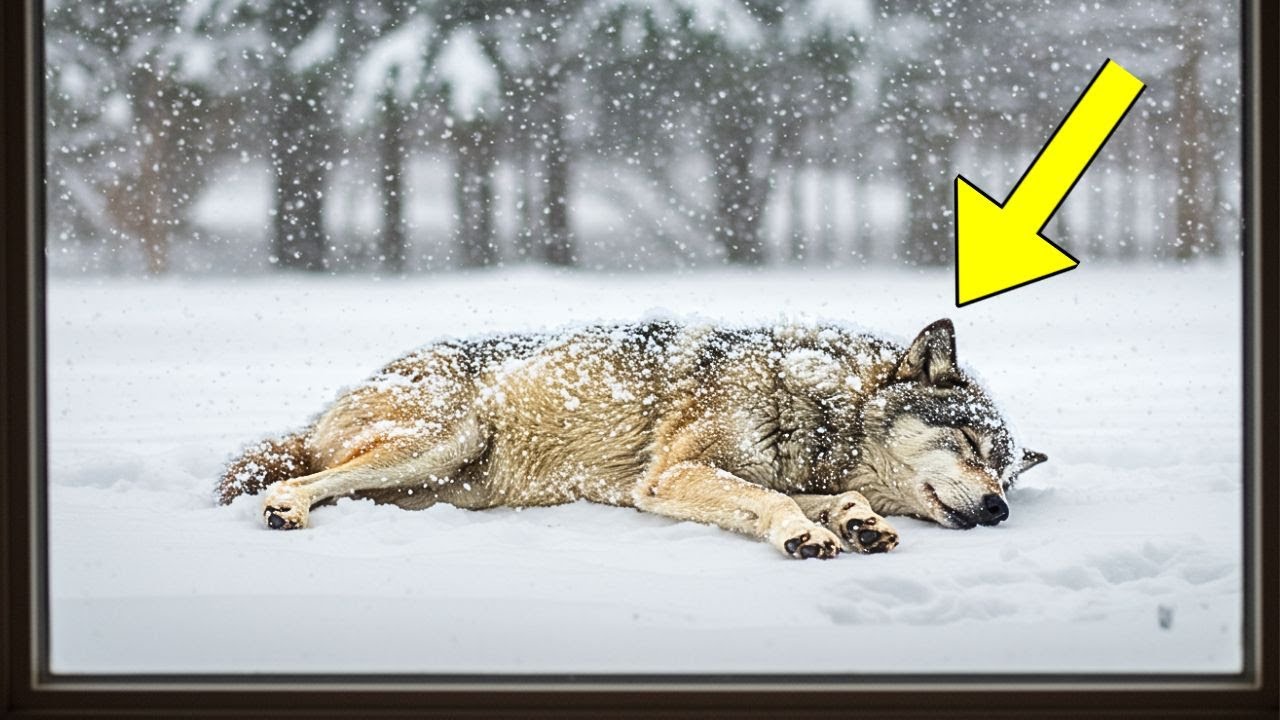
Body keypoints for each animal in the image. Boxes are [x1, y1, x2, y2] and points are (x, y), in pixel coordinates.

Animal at [219, 318, 1047, 559]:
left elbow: (830, 498)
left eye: (1009, 475)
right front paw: (807, 536)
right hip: (441, 441)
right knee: (295, 479)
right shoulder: (672, 478)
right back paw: (285, 509)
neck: (824, 413)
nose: (1000, 510)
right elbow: (775, 504)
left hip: (435, 484)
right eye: (972, 448)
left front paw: (856, 521)